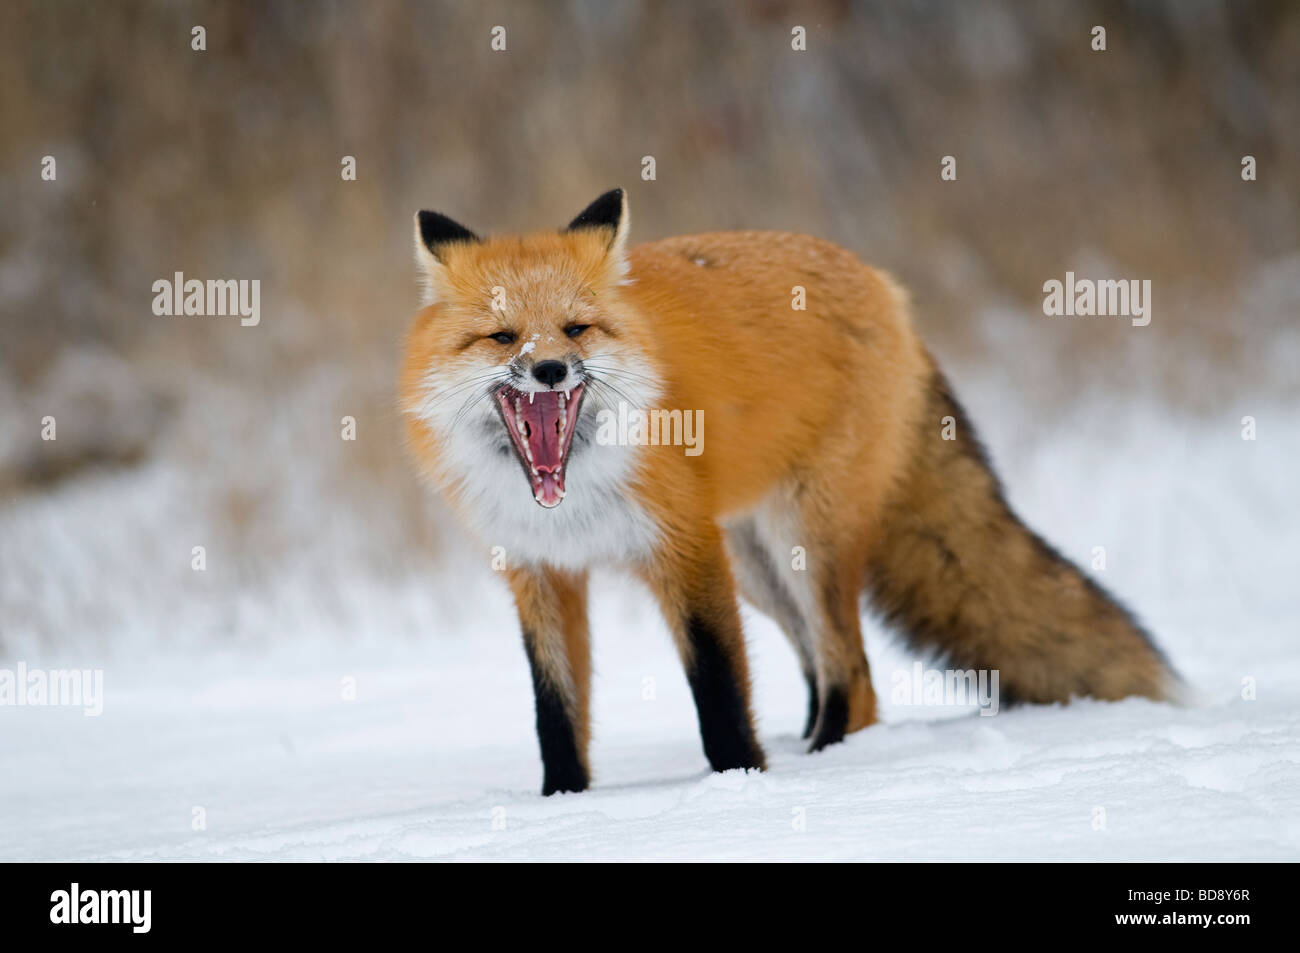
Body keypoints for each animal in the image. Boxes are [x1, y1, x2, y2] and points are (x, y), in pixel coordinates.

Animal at [399, 188, 1177, 795]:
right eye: (503, 338)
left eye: (575, 329)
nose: (553, 370)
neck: (573, 496)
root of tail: (883, 285)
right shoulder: (539, 571)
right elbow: (555, 711)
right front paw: (562, 803)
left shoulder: (686, 551)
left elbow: (717, 688)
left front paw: (740, 785)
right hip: (759, 567)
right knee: (818, 665)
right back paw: (806, 744)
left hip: (807, 539)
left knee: (853, 674)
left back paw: (827, 760)